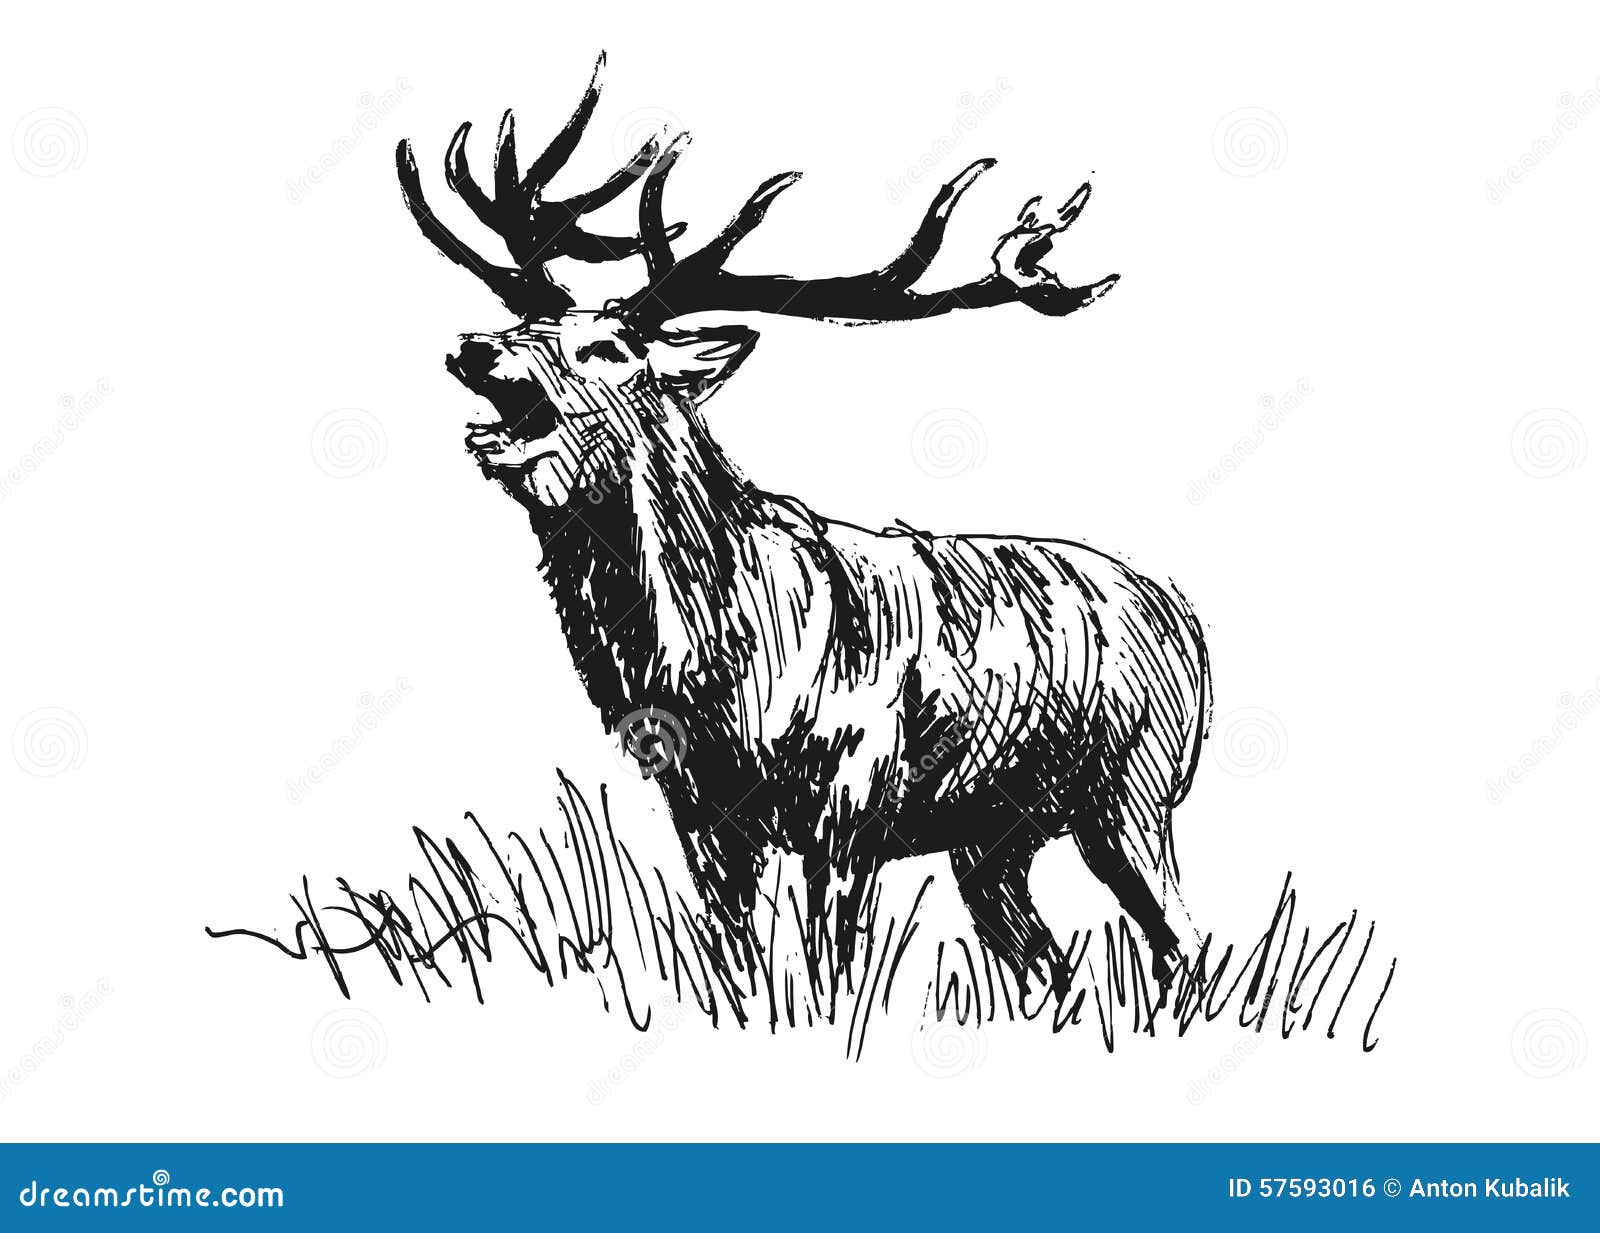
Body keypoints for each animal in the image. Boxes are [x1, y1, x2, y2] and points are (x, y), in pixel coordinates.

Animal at [395, 56, 1211, 1002]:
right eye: (531, 323)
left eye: (608, 349)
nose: (474, 346)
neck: (721, 669)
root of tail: (1192, 627)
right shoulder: (702, 812)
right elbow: (737, 959)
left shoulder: (853, 798)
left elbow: (830, 967)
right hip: (992, 837)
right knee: (1052, 962)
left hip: (1132, 794)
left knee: (1184, 938)